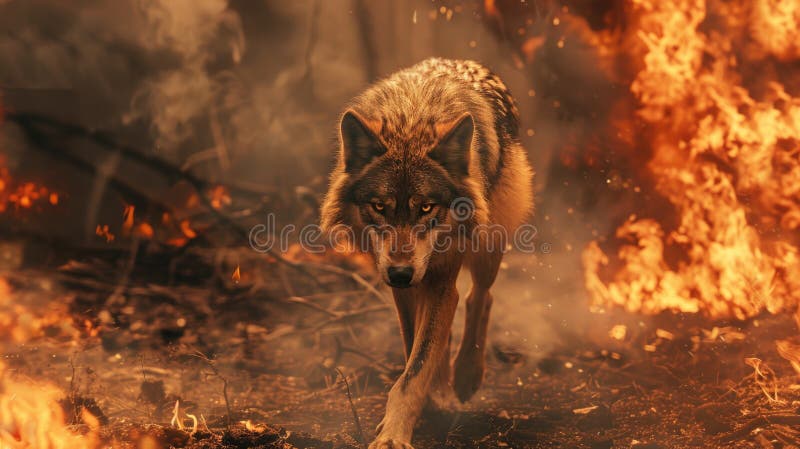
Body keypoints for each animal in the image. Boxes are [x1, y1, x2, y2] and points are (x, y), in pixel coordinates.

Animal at [320, 58, 534, 449]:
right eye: (380, 206)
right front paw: (430, 401)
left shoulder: (439, 279)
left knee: (480, 296)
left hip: (487, 244)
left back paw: (466, 375)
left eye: (425, 208)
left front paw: (394, 435)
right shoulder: (406, 287)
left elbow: (413, 372)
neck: (411, 117)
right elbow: (414, 354)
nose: (401, 274)